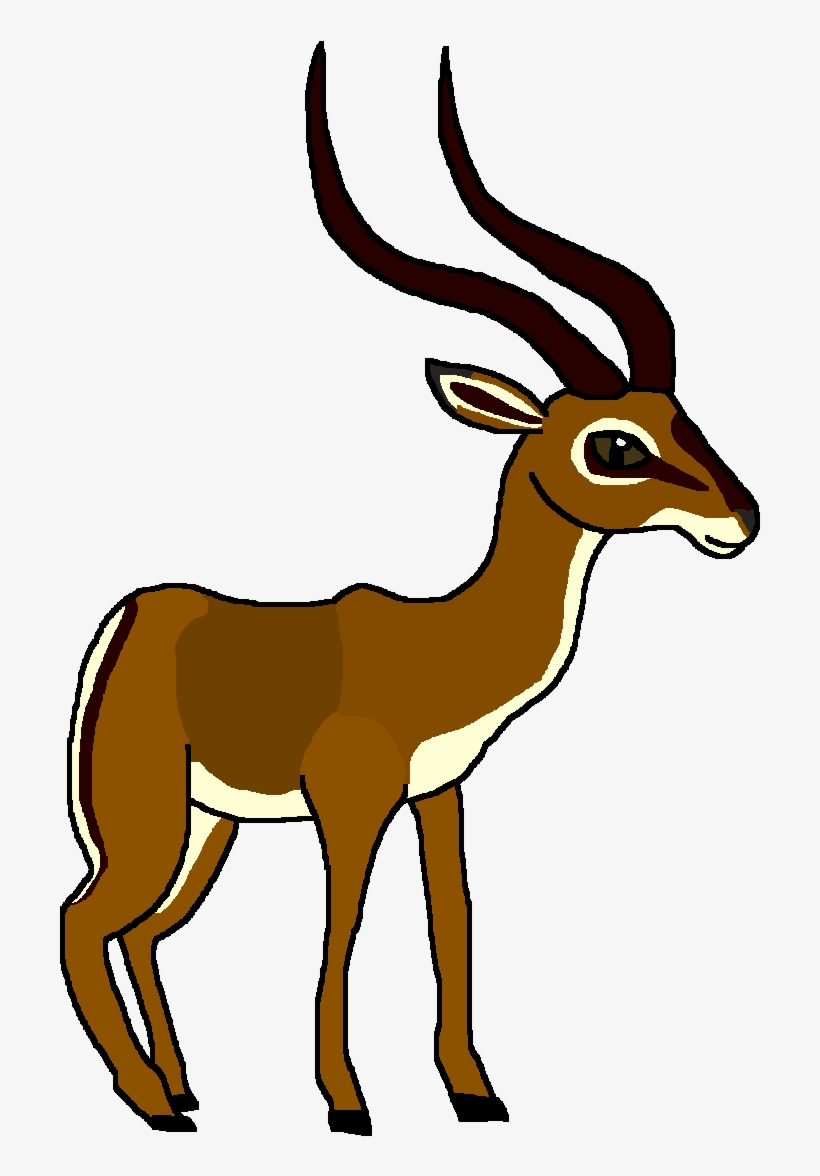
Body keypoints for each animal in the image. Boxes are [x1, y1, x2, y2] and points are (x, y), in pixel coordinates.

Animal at [61, 42, 758, 1136]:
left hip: (206, 825)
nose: (744, 519)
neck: (443, 639)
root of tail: (134, 615)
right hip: (150, 816)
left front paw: (475, 1093)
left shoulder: (440, 795)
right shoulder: (351, 803)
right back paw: (153, 1104)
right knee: (82, 920)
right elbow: (344, 923)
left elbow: (453, 917)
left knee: (142, 933)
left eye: (682, 419)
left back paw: (182, 1090)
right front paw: (347, 1104)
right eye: (614, 444)